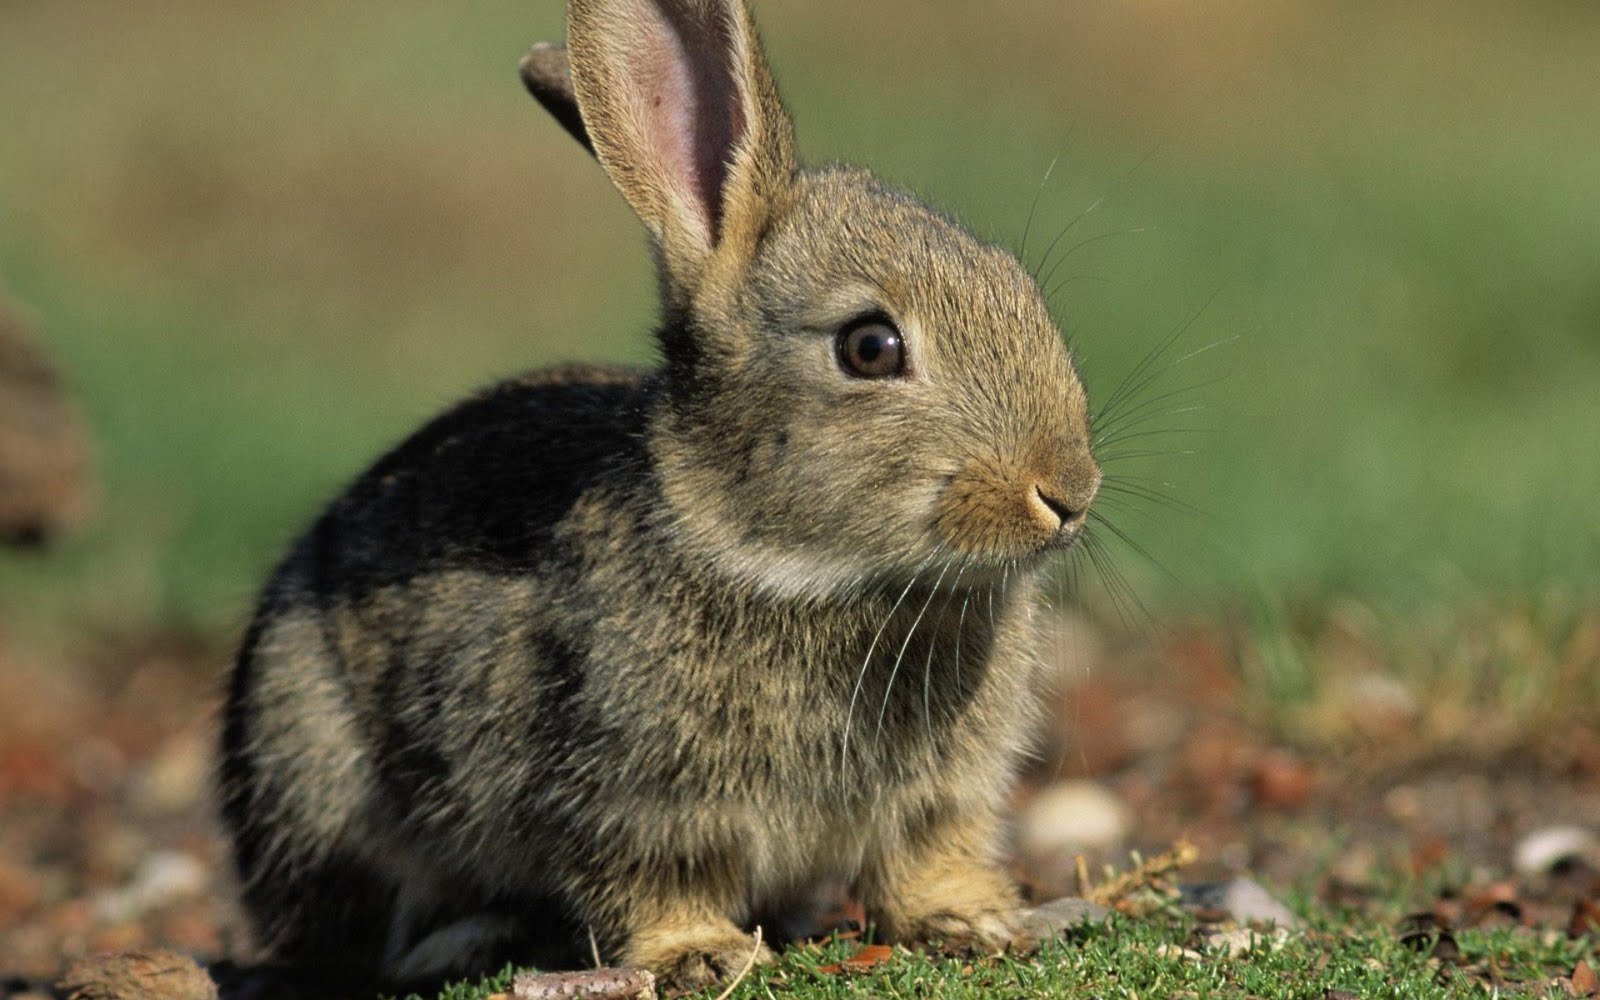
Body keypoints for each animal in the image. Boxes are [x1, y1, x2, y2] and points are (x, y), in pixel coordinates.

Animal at [219, 0, 1102, 992]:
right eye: (870, 347)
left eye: (1019, 290)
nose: (1067, 491)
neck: (799, 568)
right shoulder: (627, 797)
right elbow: (652, 884)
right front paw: (700, 955)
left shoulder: (942, 796)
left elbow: (927, 856)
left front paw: (975, 920)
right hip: (314, 767)